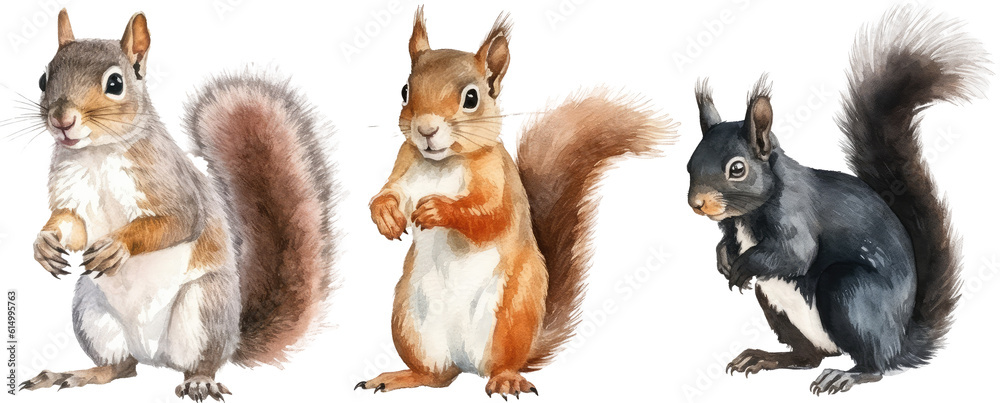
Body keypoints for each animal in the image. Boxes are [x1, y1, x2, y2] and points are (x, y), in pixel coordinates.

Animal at [19, 9, 336, 401]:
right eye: (43, 78)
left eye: (115, 83)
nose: (62, 120)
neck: (98, 153)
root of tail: (155, 355)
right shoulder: (73, 194)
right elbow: (70, 225)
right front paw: (43, 244)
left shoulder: (172, 185)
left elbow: (180, 222)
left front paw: (118, 245)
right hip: (91, 312)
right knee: (121, 368)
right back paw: (76, 374)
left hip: (203, 308)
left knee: (199, 362)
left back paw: (198, 380)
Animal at [353, 7, 676, 399]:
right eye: (404, 91)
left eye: (471, 98)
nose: (426, 130)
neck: (441, 164)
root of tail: (465, 363)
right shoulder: (403, 169)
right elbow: (386, 194)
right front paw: (386, 217)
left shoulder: (499, 179)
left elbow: (490, 214)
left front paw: (437, 210)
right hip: (410, 321)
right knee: (436, 377)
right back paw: (400, 377)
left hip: (510, 312)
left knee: (499, 363)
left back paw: (506, 379)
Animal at [686, 6, 986, 395]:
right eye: (690, 162)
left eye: (736, 168)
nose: (697, 203)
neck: (745, 216)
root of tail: (898, 342)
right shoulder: (731, 227)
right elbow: (726, 242)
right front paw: (724, 260)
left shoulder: (795, 213)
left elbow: (795, 253)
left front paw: (740, 267)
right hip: (776, 306)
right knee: (808, 356)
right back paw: (764, 357)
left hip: (850, 292)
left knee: (874, 365)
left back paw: (847, 374)